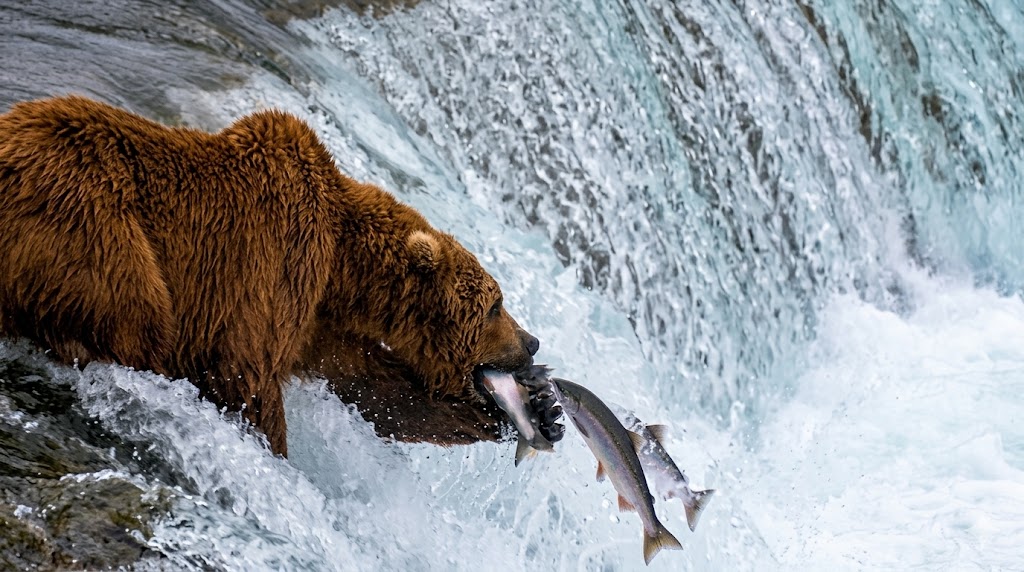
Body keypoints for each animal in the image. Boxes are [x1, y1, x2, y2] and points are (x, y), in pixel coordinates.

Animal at [0, 95, 561, 457]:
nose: (532, 341)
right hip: (90, 222)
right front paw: (270, 450)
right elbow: (247, 375)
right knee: (137, 318)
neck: (341, 271)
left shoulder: (321, 327)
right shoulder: (271, 267)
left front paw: (542, 413)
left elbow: (378, 393)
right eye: (494, 305)